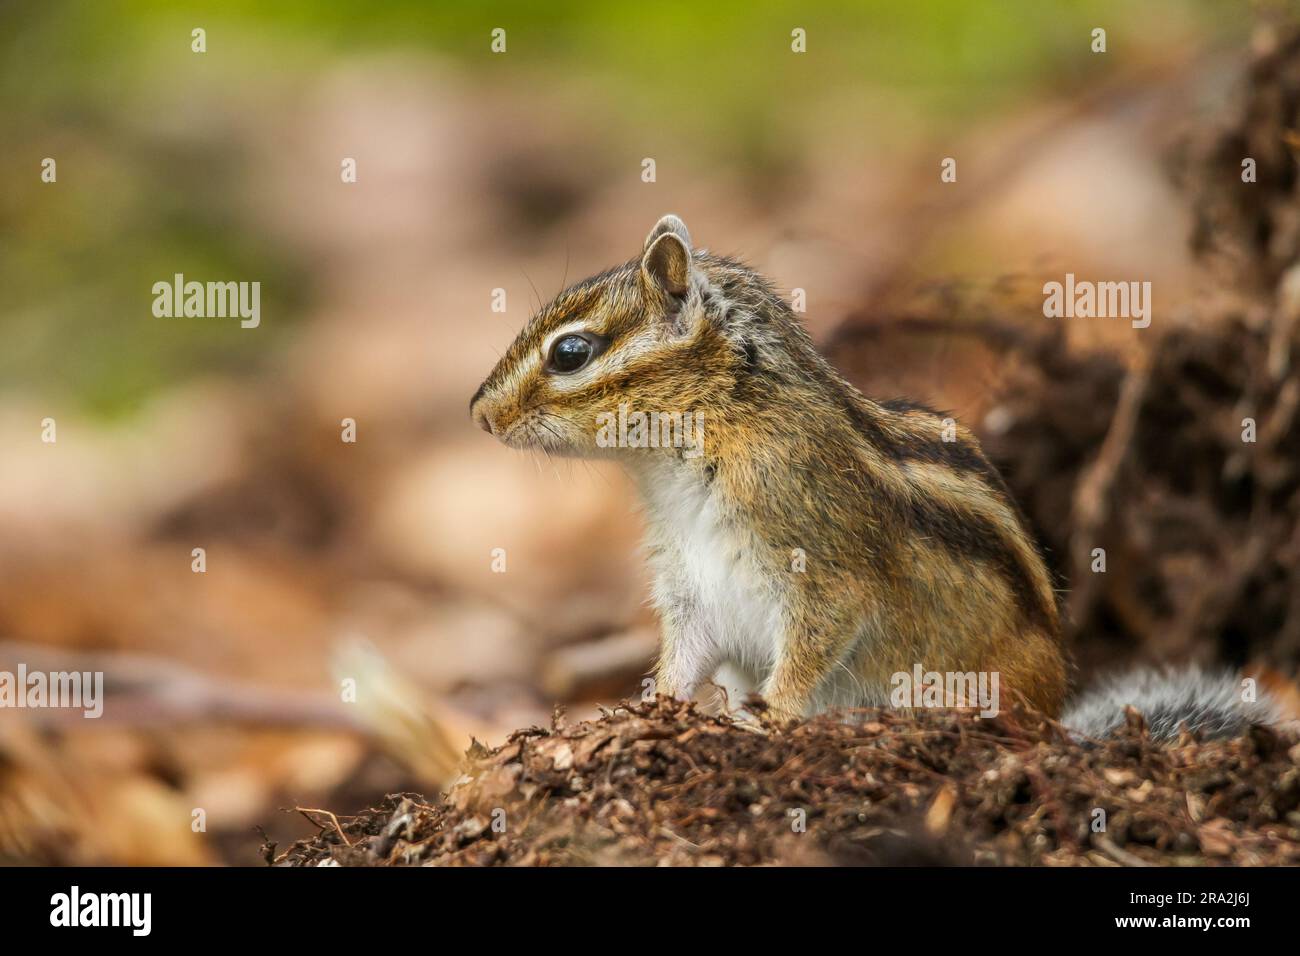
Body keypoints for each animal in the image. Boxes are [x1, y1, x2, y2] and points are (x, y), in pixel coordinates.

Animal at [471, 214, 1289, 741]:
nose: (478, 414)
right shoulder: (691, 583)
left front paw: (771, 715)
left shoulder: (821, 564)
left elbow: (817, 638)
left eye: (571, 352)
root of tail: (1059, 720)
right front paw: (654, 707)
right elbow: (686, 652)